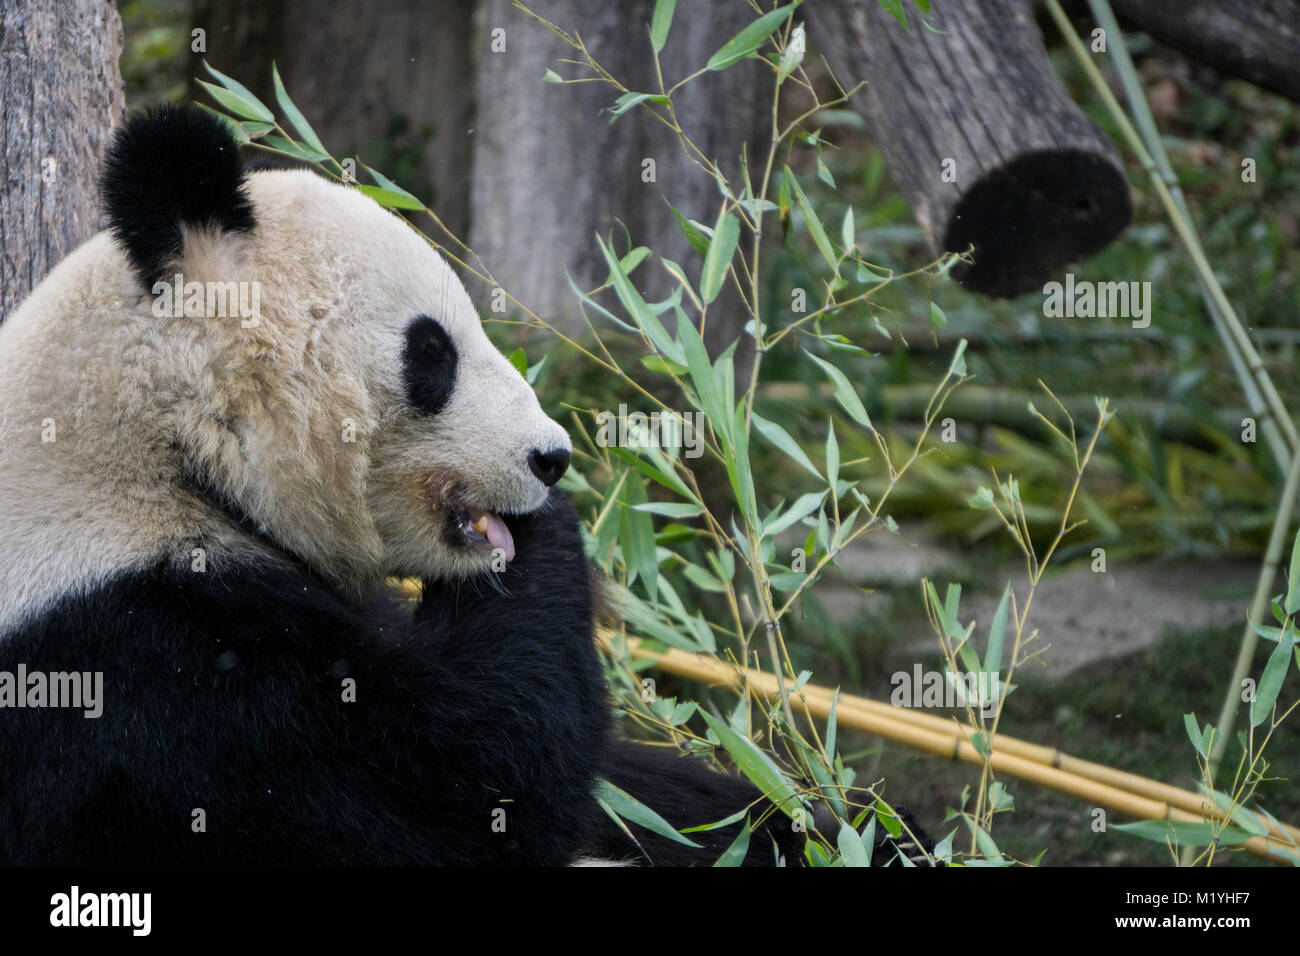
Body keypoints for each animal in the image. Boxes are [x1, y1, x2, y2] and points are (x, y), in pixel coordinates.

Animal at [0, 105, 927, 867]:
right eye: (432, 351)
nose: (550, 456)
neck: (162, 448)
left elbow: (652, 797)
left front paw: (853, 821)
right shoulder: (156, 666)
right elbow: (469, 791)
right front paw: (543, 531)